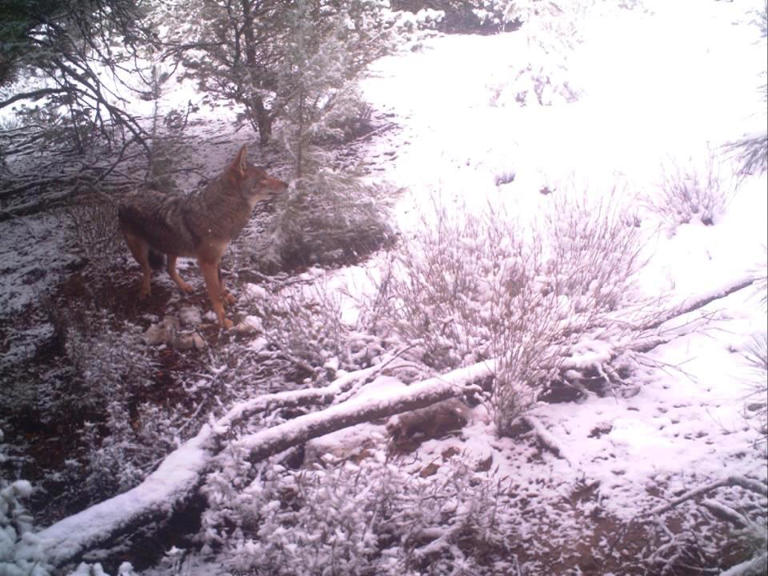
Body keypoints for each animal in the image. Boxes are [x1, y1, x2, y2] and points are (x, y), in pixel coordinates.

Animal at [118, 145, 287, 329]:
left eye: (267, 175)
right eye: (263, 178)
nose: (286, 184)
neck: (218, 213)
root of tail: (125, 196)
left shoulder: (217, 259)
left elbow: (221, 284)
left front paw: (227, 298)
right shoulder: (207, 263)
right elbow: (214, 293)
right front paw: (223, 320)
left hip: (173, 247)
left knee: (169, 269)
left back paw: (185, 287)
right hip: (141, 251)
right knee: (147, 269)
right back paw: (145, 290)